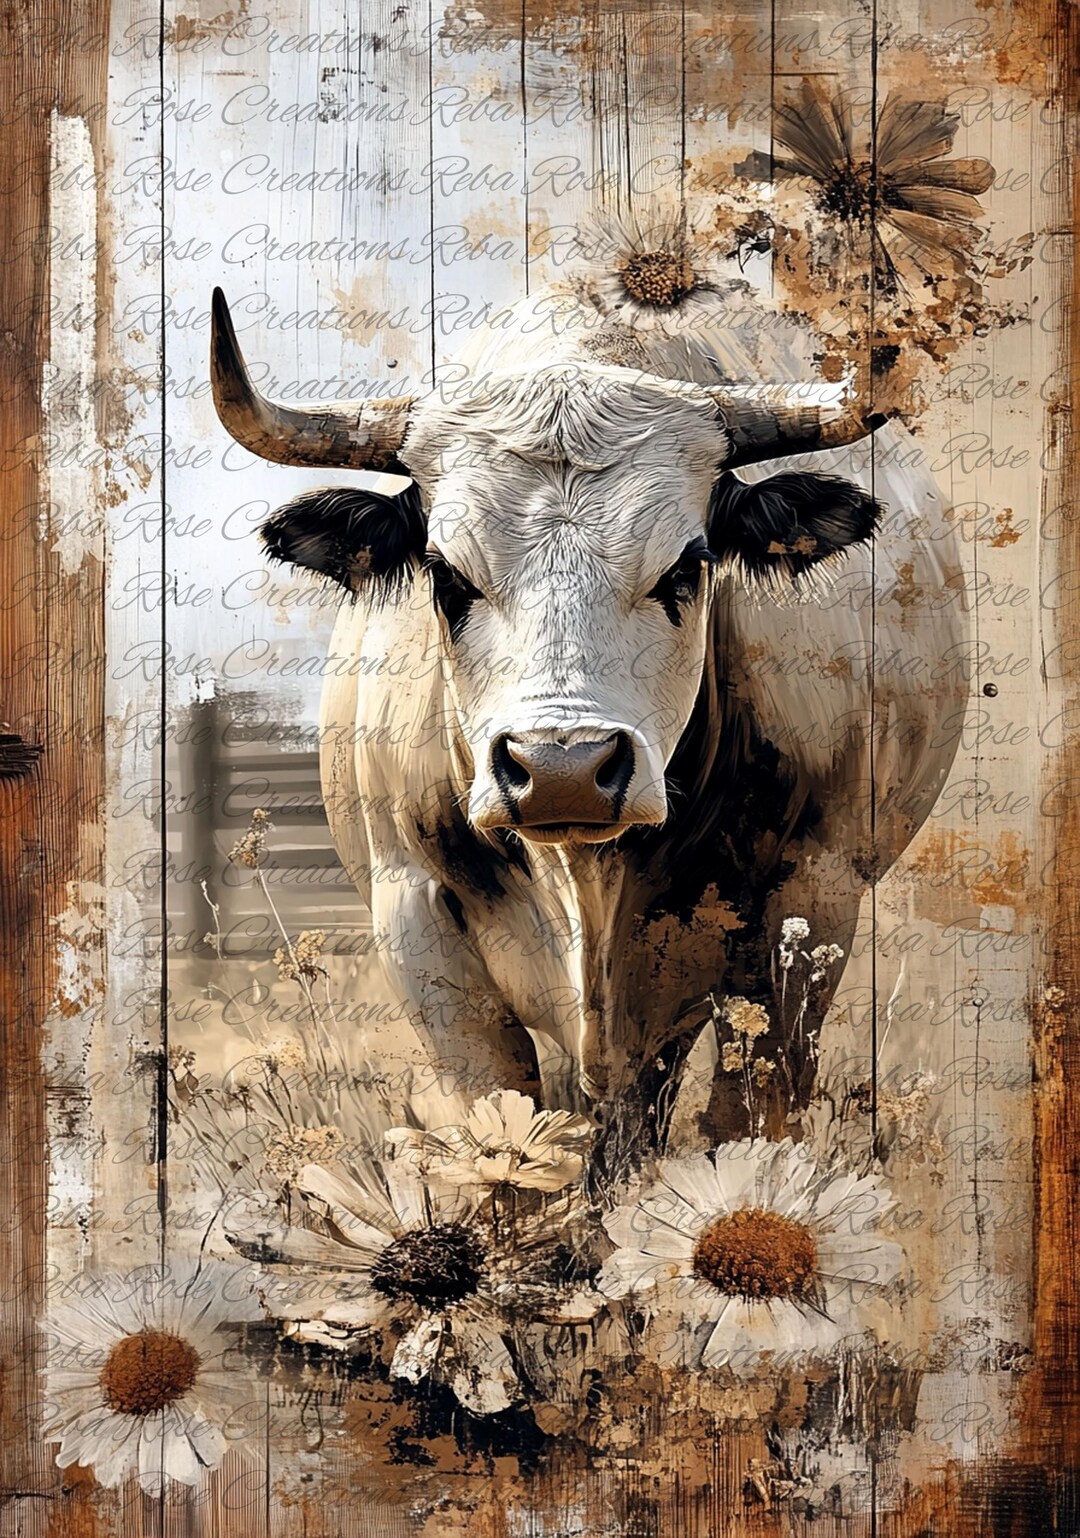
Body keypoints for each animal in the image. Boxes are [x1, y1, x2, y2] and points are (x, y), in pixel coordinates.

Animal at [209, 252, 964, 1160]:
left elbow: (744, 1123)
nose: (561, 769)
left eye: (688, 564)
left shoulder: (810, 907)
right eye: (445, 573)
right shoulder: (418, 922)